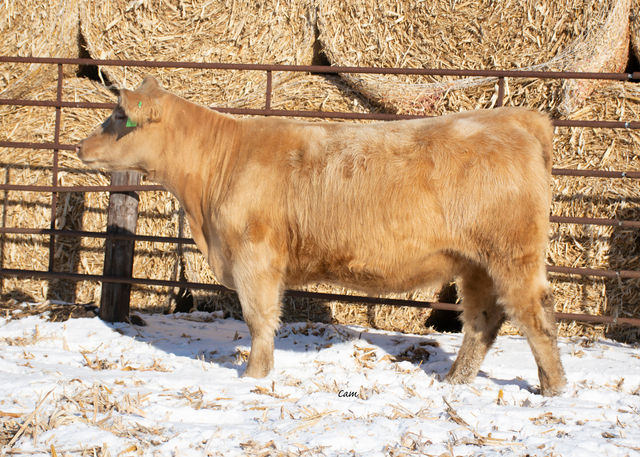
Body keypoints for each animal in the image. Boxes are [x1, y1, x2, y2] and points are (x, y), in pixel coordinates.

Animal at [76, 76, 566, 396]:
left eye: (118, 115)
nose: (80, 146)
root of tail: (518, 118)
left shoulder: (255, 258)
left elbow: (258, 319)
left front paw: (254, 376)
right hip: (477, 263)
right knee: (483, 321)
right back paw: (456, 383)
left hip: (513, 255)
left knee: (536, 316)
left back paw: (554, 388)